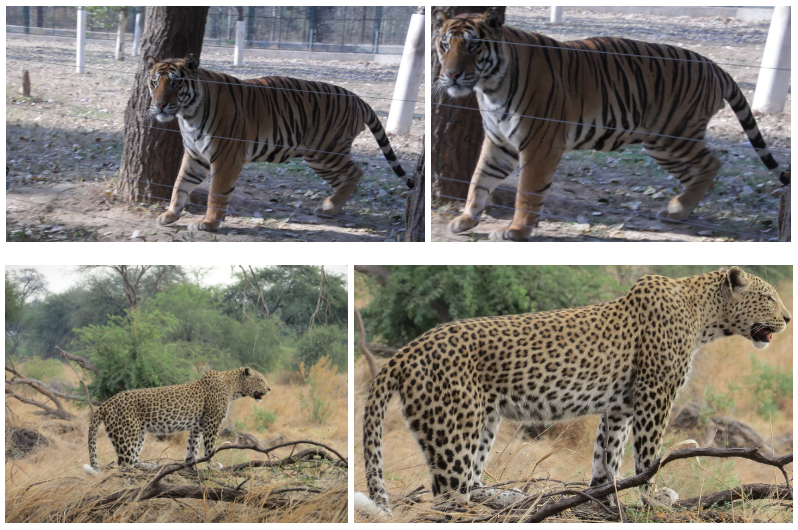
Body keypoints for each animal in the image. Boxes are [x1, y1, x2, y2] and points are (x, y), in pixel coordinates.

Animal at [145, 54, 413, 232]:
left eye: (176, 83)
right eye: (154, 83)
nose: (159, 105)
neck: (187, 113)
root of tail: (358, 98)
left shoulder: (225, 157)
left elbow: (217, 193)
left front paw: (209, 223)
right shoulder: (195, 156)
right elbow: (180, 185)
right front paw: (169, 215)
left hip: (326, 151)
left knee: (356, 172)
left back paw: (331, 206)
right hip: (318, 158)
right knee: (345, 179)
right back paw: (330, 208)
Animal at [433, 9, 789, 241]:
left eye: (473, 45)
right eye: (444, 45)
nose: (451, 75)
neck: (489, 86)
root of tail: (716, 66)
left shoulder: (539, 144)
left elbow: (527, 191)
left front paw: (516, 230)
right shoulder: (499, 142)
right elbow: (479, 180)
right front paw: (465, 220)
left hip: (671, 136)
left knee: (712, 163)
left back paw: (678, 209)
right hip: (663, 143)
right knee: (700, 171)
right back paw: (679, 210)